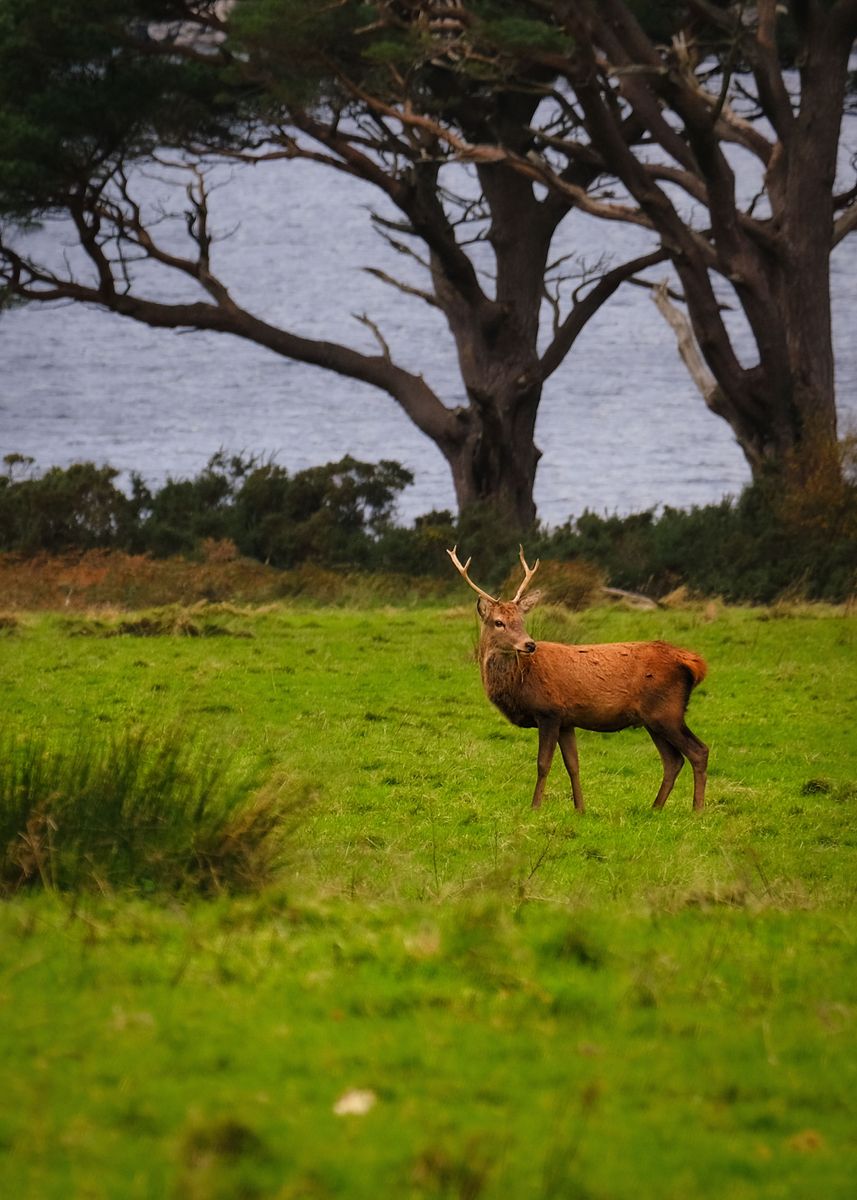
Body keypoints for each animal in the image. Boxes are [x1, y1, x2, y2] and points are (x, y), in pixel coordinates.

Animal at [448, 546, 709, 812]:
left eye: (522, 621)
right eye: (498, 622)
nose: (529, 644)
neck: (521, 682)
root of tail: (693, 662)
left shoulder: (549, 711)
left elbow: (543, 764)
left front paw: (535, 806)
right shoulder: (567, 720)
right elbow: (573, 765)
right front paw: (580, 809)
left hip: (667, 711)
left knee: (698, 751)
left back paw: (697, 809)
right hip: (652, 718)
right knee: (673, 760)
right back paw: (655, 807)